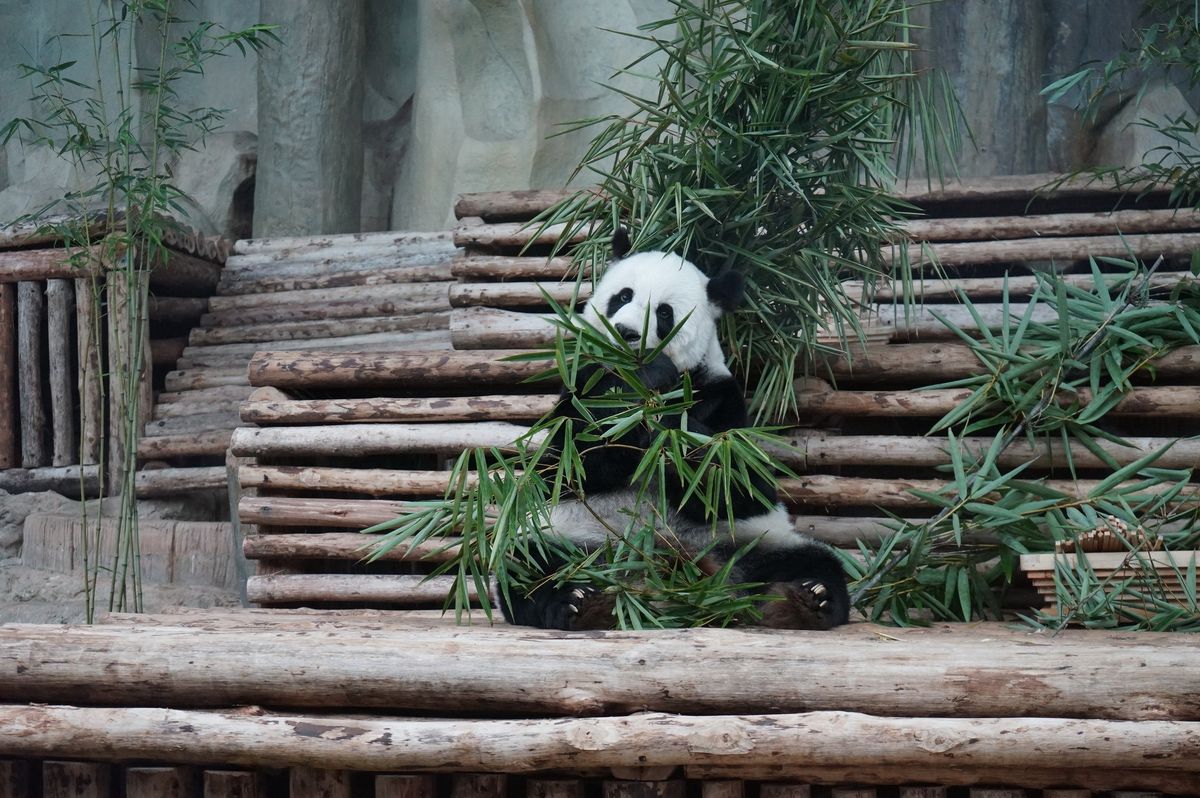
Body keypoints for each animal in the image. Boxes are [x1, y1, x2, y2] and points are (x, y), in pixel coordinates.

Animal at [500, 229, 850, 631]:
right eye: (623, 296)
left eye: (664, 313)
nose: (627, 333)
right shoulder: (579, 389)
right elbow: (569, 467)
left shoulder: (721, 396)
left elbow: (741, 484)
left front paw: (670, 423)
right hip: (576, 536)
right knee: (529, 565)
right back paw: (577, 601)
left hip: (753, 542)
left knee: (812, 562)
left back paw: (807, 599)